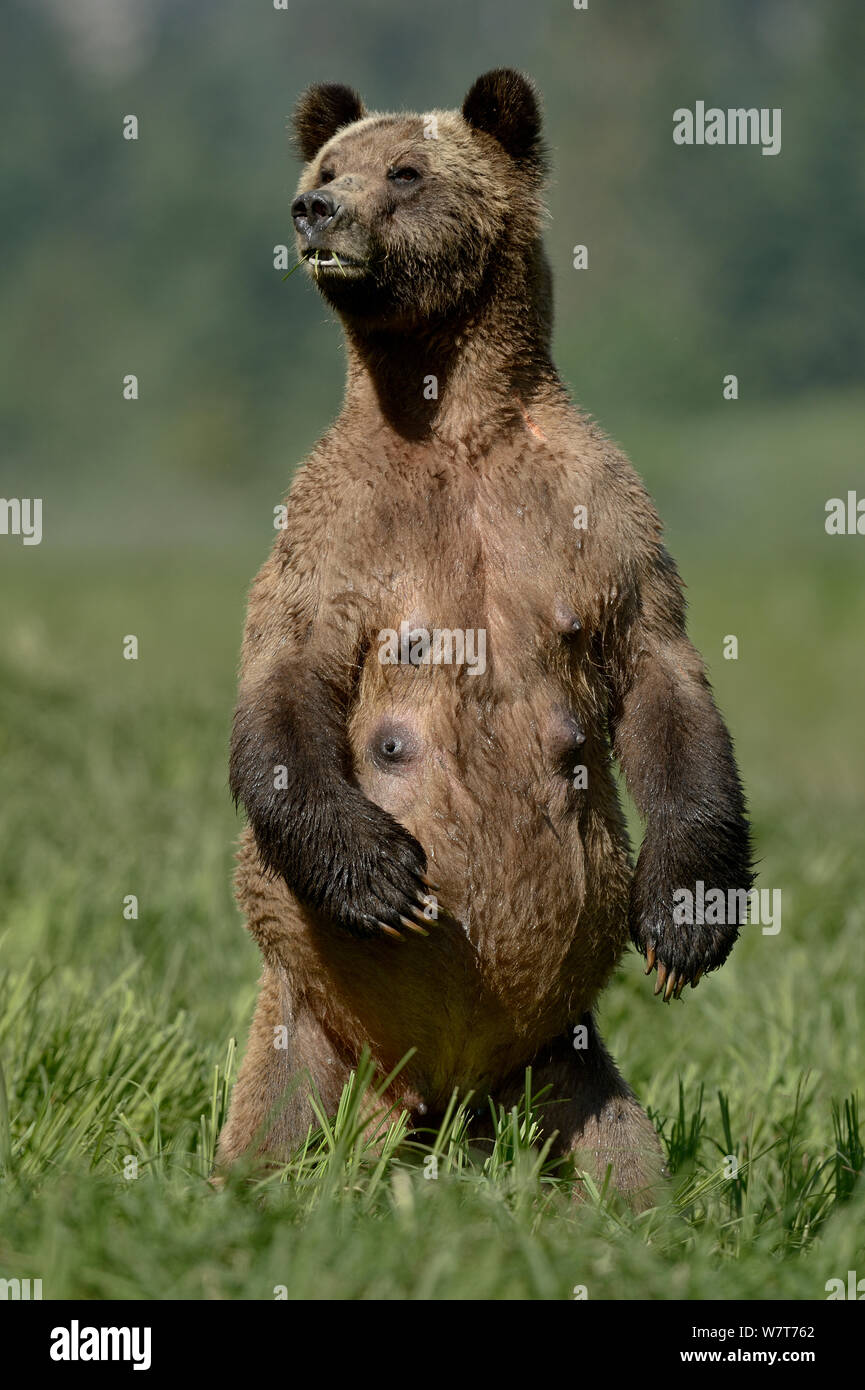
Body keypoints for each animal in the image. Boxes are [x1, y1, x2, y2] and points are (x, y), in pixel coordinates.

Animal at [217, 70, 753, 1207]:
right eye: (328, 164)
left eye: (404, 170)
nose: (314, 210)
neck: (450, 417)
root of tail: (441, 1096)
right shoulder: (334, 528)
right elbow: (286, 685)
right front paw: (384, 877)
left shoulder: (595, 515)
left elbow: (661, 675)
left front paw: (685, 922)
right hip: (304, 1030)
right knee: (268, 1135)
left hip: (568, 1061)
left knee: (623, 1158)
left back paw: (642, 1211)